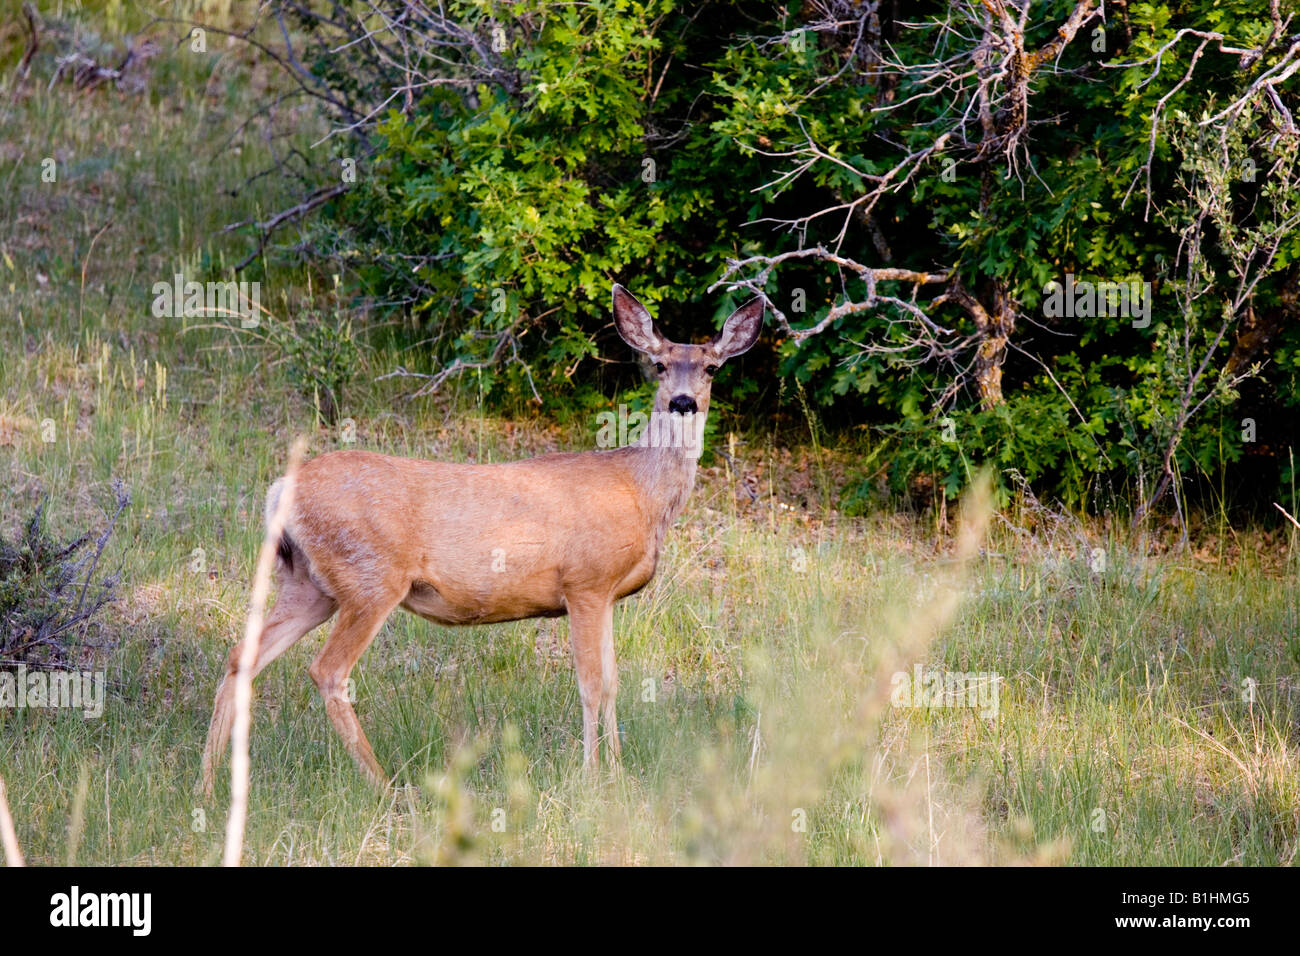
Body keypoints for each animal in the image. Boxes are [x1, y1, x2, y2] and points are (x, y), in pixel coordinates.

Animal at [199, 285, 764, 794]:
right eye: (660, 364)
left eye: (711, 367)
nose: (684, 402)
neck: (642, 494)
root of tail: (280, 490)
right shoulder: (584, 582)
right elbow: (590, 684)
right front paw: (591, 777)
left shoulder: (605, 596)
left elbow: (613, 684)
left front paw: (619, 772)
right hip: (370, 577)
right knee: (327, 671)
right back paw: (385, 785)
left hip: (310, 583)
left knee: (241, 655)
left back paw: (207, 786)